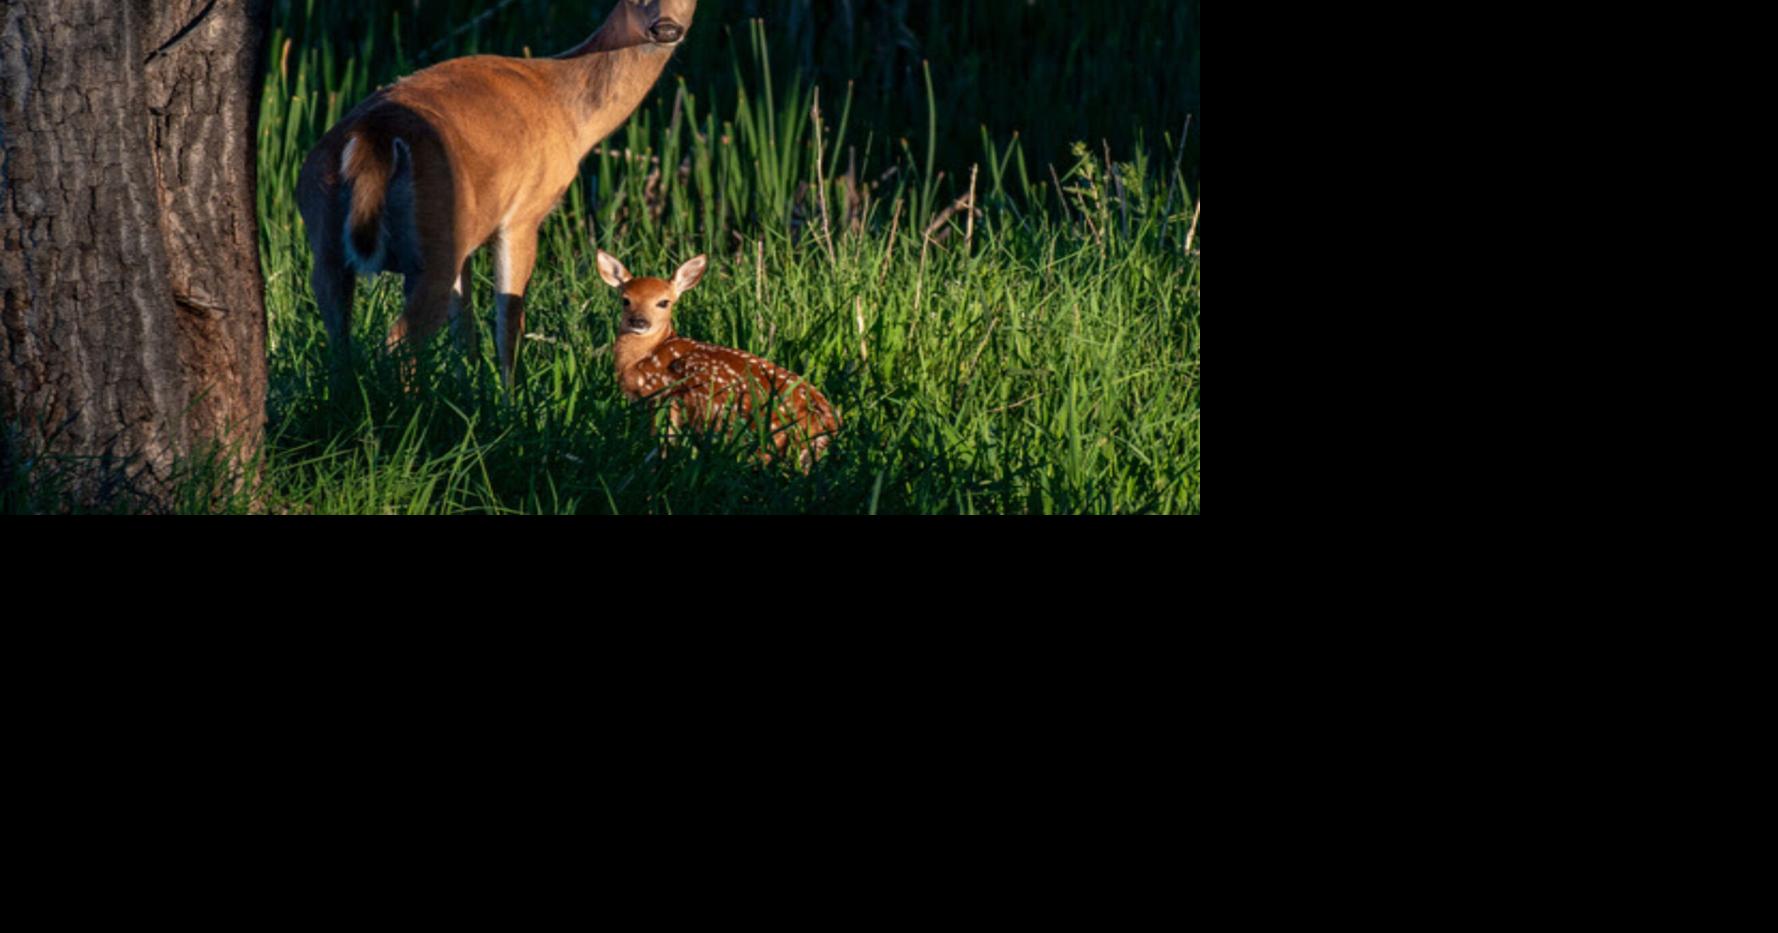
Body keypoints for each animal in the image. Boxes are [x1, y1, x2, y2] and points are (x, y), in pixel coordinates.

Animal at [296, 0, 698, 386]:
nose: (665, 28)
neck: (570, 112)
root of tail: (374, 134)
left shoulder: (469, 239)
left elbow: (465, 331)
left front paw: (470, 393)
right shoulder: (522, 216)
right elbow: (508, 325)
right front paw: (512, 402)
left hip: (327, 238)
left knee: (340, 344)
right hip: (434, 241)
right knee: (398, 343)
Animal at [598, 251, 841, 471]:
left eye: (663, 302)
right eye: (625, 300)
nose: (638, 321)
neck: (642, 359)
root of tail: (830, 422)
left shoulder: (663, 396)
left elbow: (663, 442)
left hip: (767, 435)